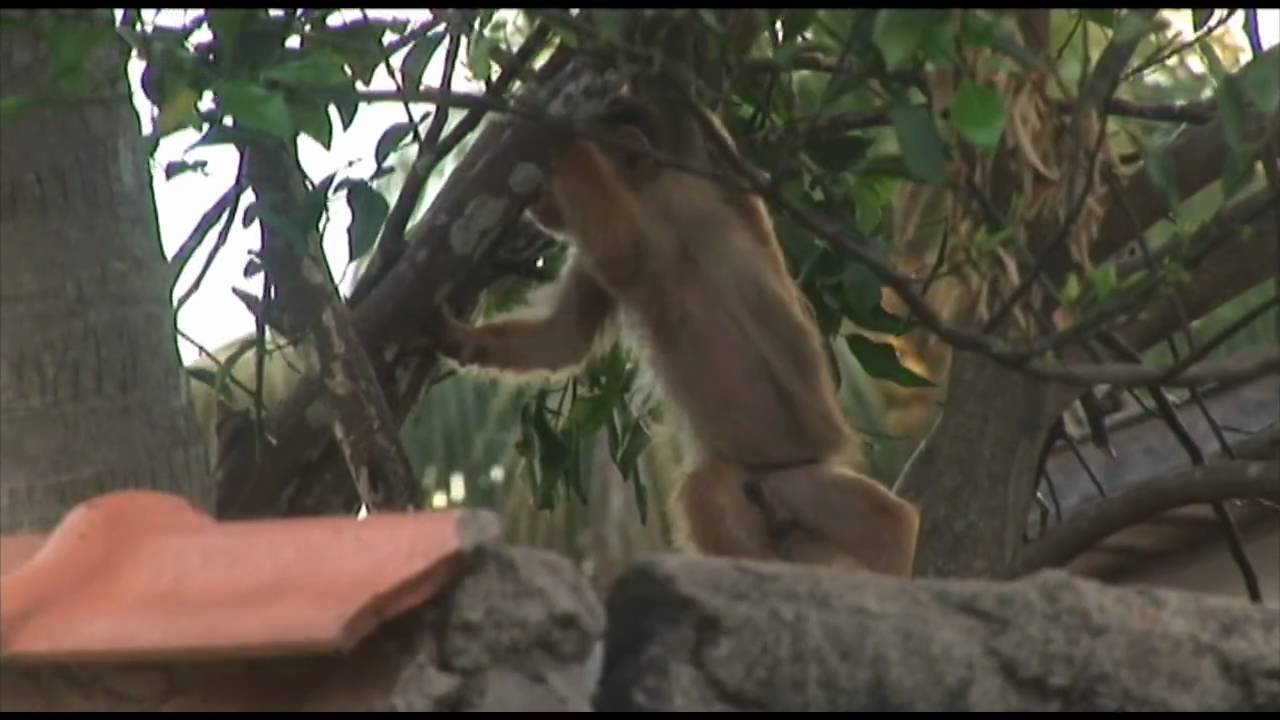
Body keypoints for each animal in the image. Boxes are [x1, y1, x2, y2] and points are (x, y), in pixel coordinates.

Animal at [435, 96, 921, 576]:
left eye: (547, 181)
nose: (535, 200)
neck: (646, 188)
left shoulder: (668, 207)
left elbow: (624, 249)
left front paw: (554, 120)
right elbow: (564, 336)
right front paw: (453, 338)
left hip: (803, 476)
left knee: (887, 522)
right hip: (766, 484)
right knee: (713, 491)